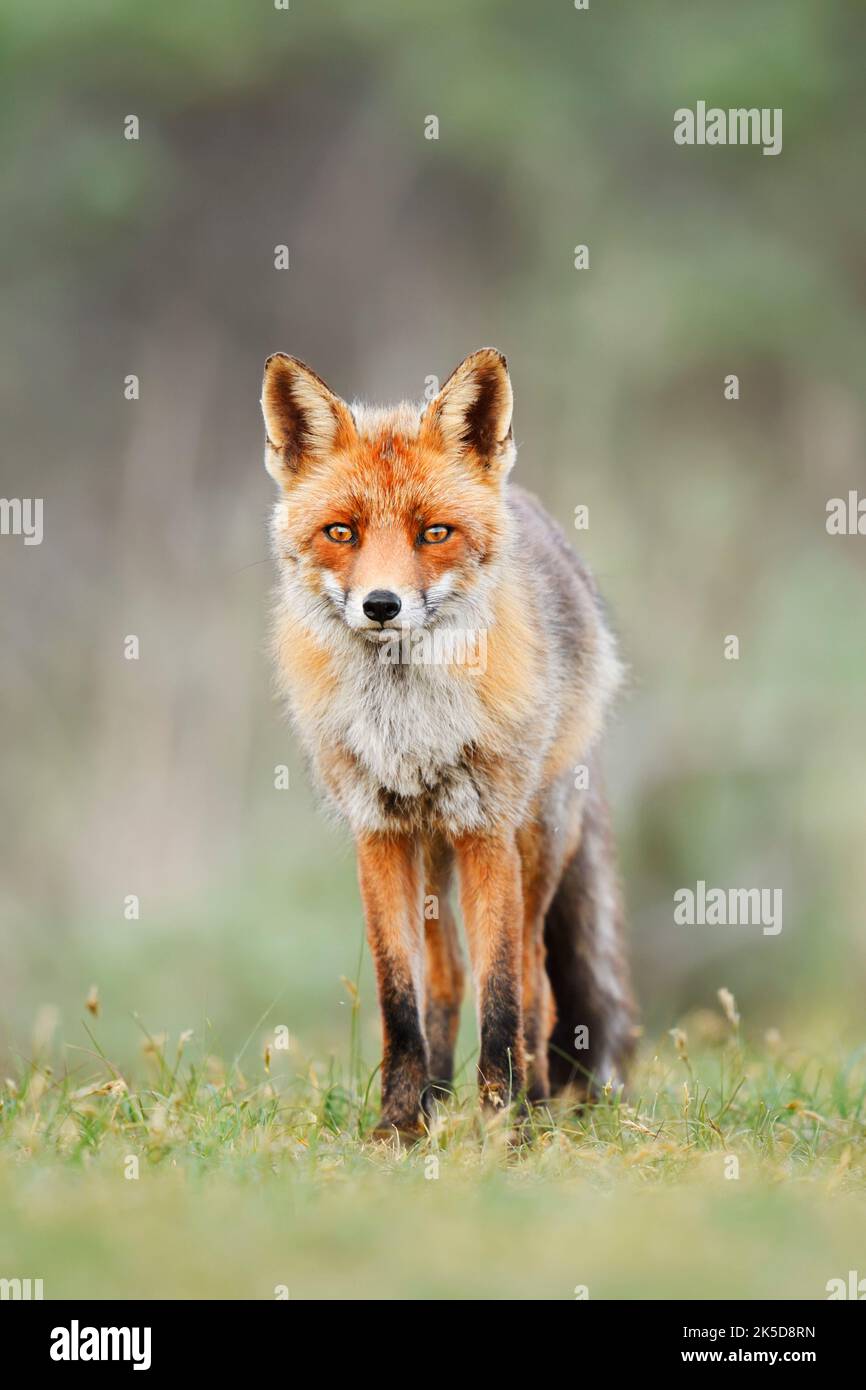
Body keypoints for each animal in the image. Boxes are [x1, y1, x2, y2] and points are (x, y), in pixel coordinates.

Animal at [261, 347, 636, 1137]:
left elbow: (502, 999)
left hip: (537, 840)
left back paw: (534, 1107)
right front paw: (398, 1127)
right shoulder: (379, 832)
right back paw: (434, 1101)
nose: (381, 605)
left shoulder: (487, 832)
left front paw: (501, 1129)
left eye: (434, 533)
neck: (411, 729)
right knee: (446, 975)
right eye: (341, 532)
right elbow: (399, 998)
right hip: (433, 853)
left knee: (535, 981)